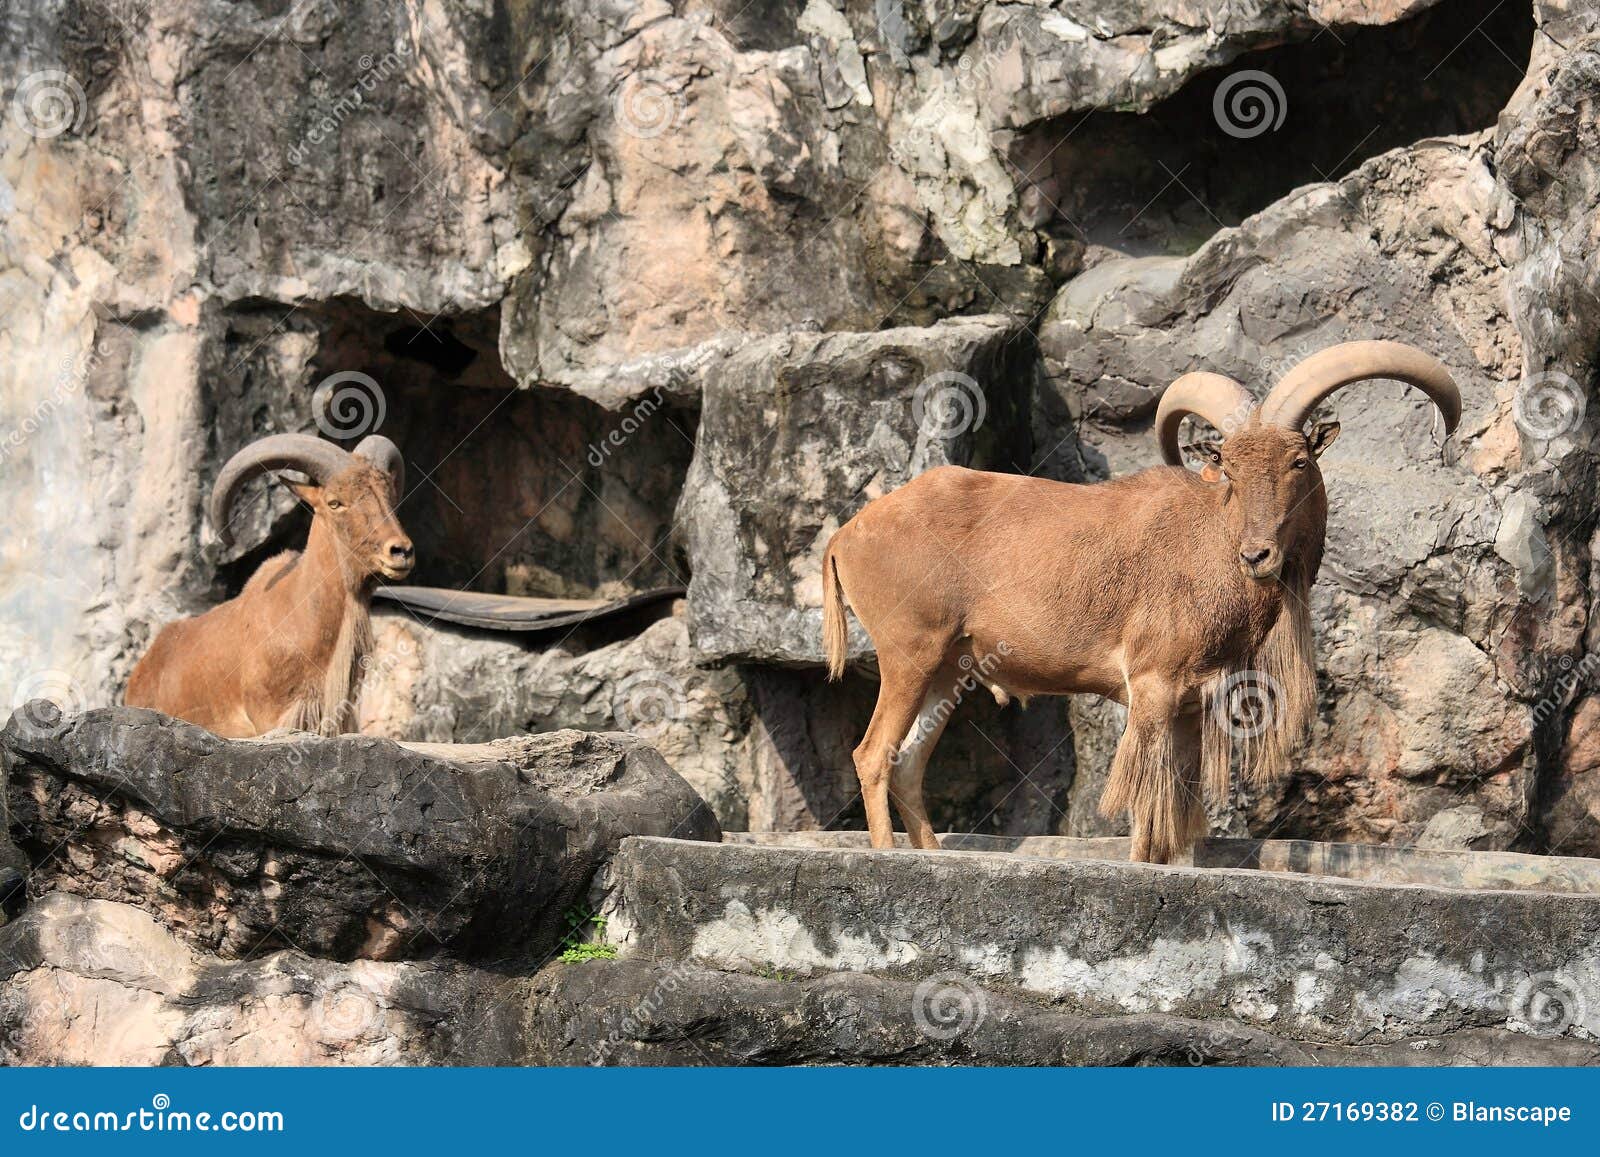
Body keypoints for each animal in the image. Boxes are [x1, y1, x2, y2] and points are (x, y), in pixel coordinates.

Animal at [821, 341, 1460, 863]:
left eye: (1298, 462)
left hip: (948, 669)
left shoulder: (1190, 706)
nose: (1257, 555)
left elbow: (1175, 811)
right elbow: (1146, 814)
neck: (1210, 540)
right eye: (1228, 467)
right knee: (873, 755)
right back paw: (889, 858)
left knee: (907, 763)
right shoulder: (1153, 686)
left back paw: (933, 855)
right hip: (909, 655)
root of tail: (846, 535)